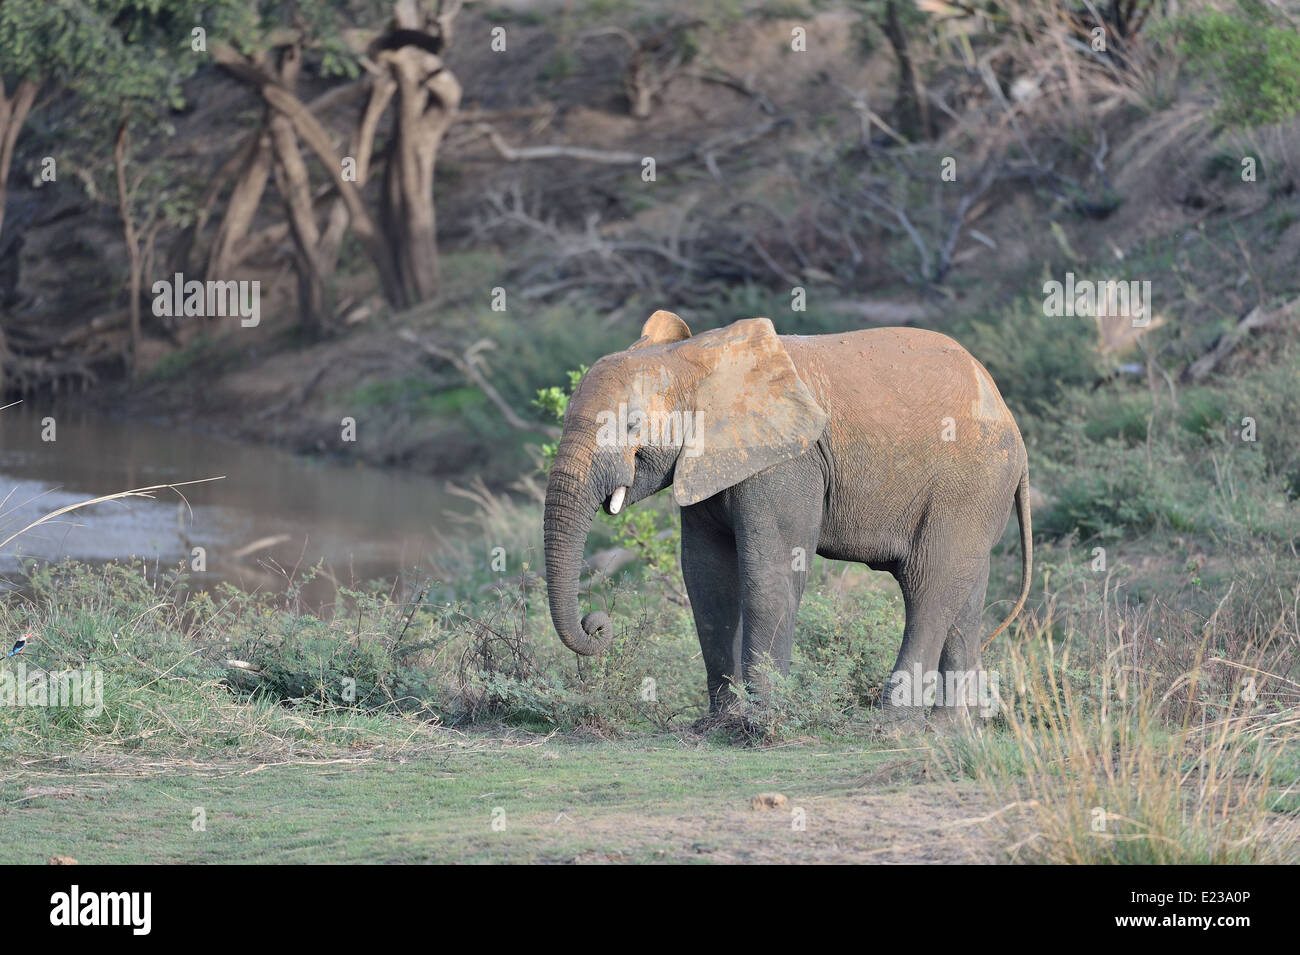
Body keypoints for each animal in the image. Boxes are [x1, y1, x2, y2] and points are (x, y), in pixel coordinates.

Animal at [543, 310, 1031, 720]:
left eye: (631, 425)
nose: (596, 624)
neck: (695, 360)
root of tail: (1012, 422)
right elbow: (706, 577)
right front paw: (721, 722)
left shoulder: (787, 462)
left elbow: (769, 572)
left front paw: (762, 721)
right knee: (966, 595)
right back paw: (952, 731)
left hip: (970, 483)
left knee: (929, 585)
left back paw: (892, 726)